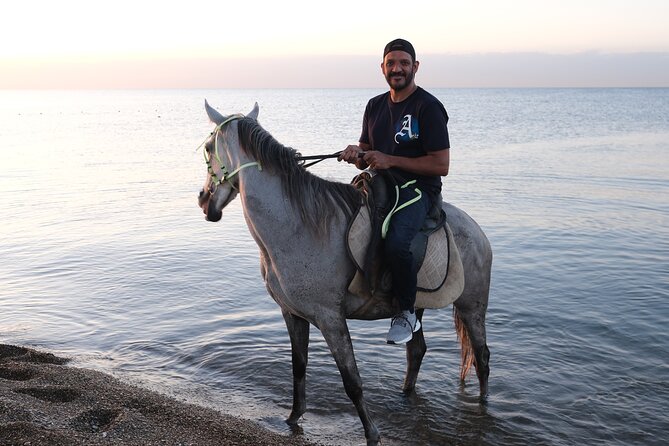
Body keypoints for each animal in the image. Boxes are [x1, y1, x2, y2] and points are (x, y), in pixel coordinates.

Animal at [197, 101, 492, 446]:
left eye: (208, 147)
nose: (203, 199)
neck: (298, 225)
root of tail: (477, 231)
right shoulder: (292, 313)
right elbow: (299, 367)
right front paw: (293, 418)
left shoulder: (331, 318)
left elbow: (351, 381)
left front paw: (372, 434)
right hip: (417, 305)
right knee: (416, 351)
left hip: (471, 307)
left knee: (482, 359)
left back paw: (484, 406)